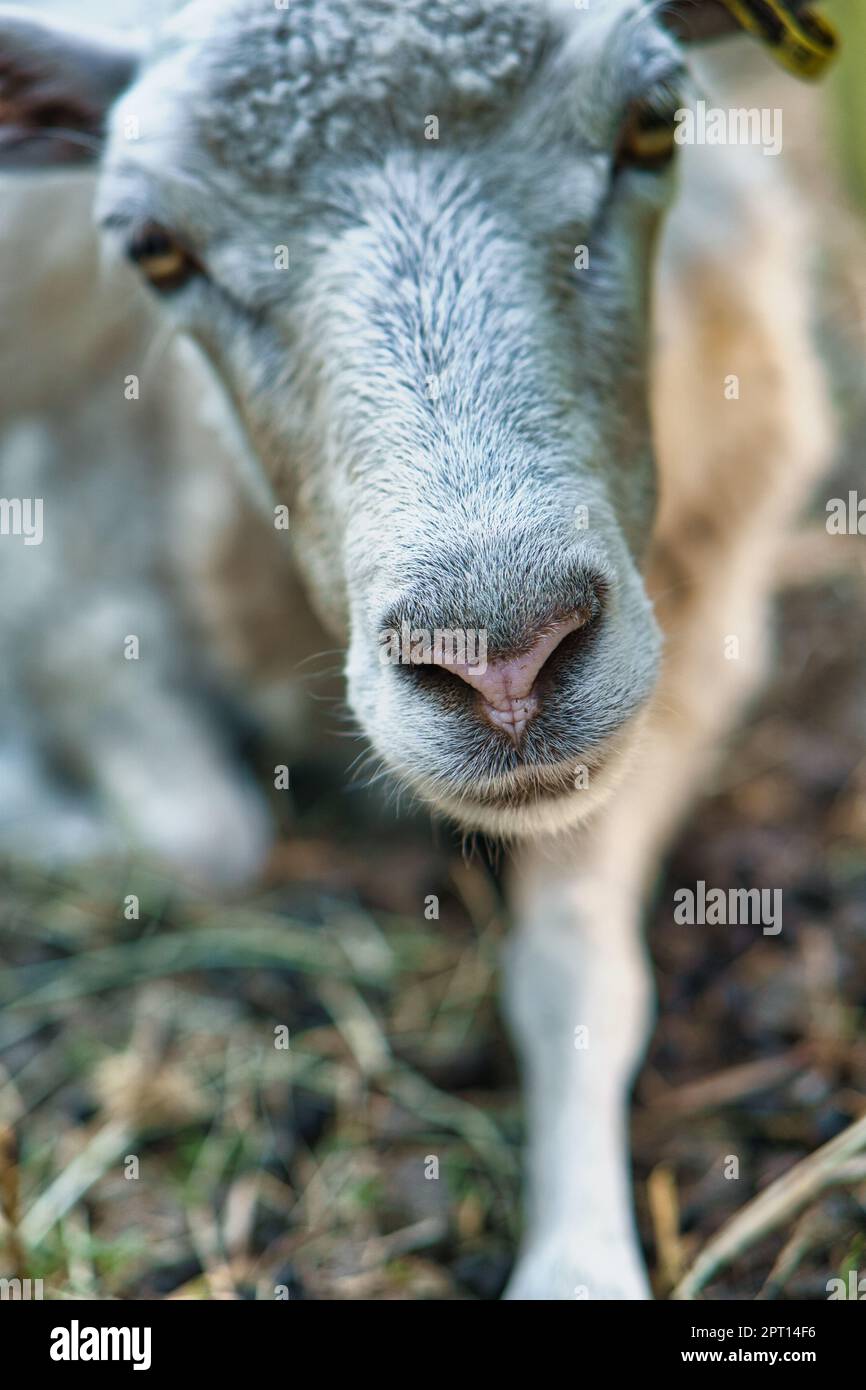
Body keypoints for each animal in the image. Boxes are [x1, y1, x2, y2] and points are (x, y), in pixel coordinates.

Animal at [0, 0, 834, 1298]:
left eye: (653, 122)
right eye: (154, 249)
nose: (501, 664)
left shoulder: (704, 607)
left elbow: (577, 968)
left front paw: (577, 1261)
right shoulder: (51, 544)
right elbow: (205, 837)